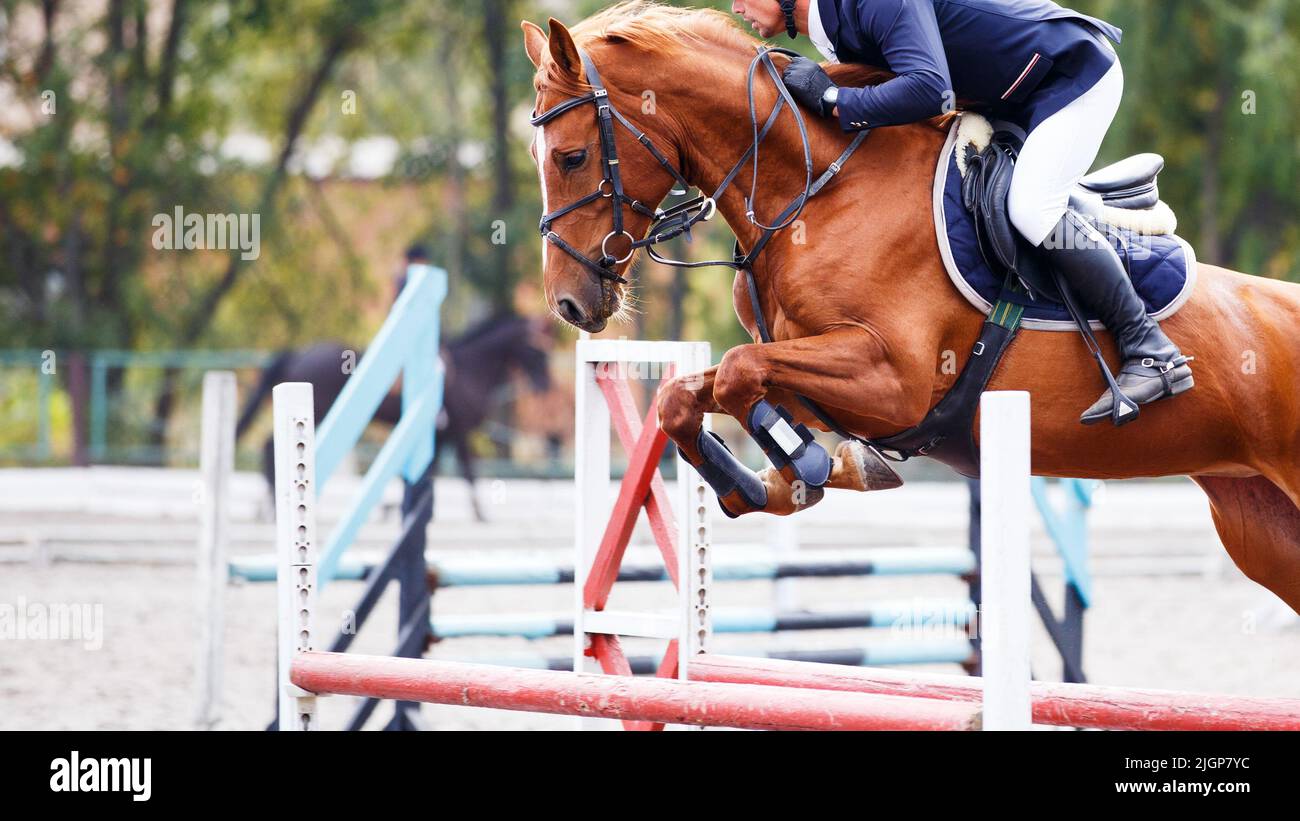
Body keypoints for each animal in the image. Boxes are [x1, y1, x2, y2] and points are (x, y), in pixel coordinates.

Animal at [236, 312, 554, 520]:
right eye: (537, 351)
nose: (545, 387)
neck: (471, 367)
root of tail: (299, 353)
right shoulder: (458, 431)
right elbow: (467, 470)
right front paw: (480, 514)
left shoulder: (442, 435)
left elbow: (431, 472)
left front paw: (400, 507)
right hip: (319, 412)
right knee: (268, 445)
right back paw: (269, 505)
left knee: (267, 445)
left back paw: (266, 505)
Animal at [521, 3, 1300, 613]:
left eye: (569, 156)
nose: (569, 302)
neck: (816, 188)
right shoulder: (816, 368)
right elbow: (690, 395)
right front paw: (782, 477)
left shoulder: (891, 379)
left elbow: (741, 371)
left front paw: (806, 466)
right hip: (1263, 528)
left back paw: (1149, 370)